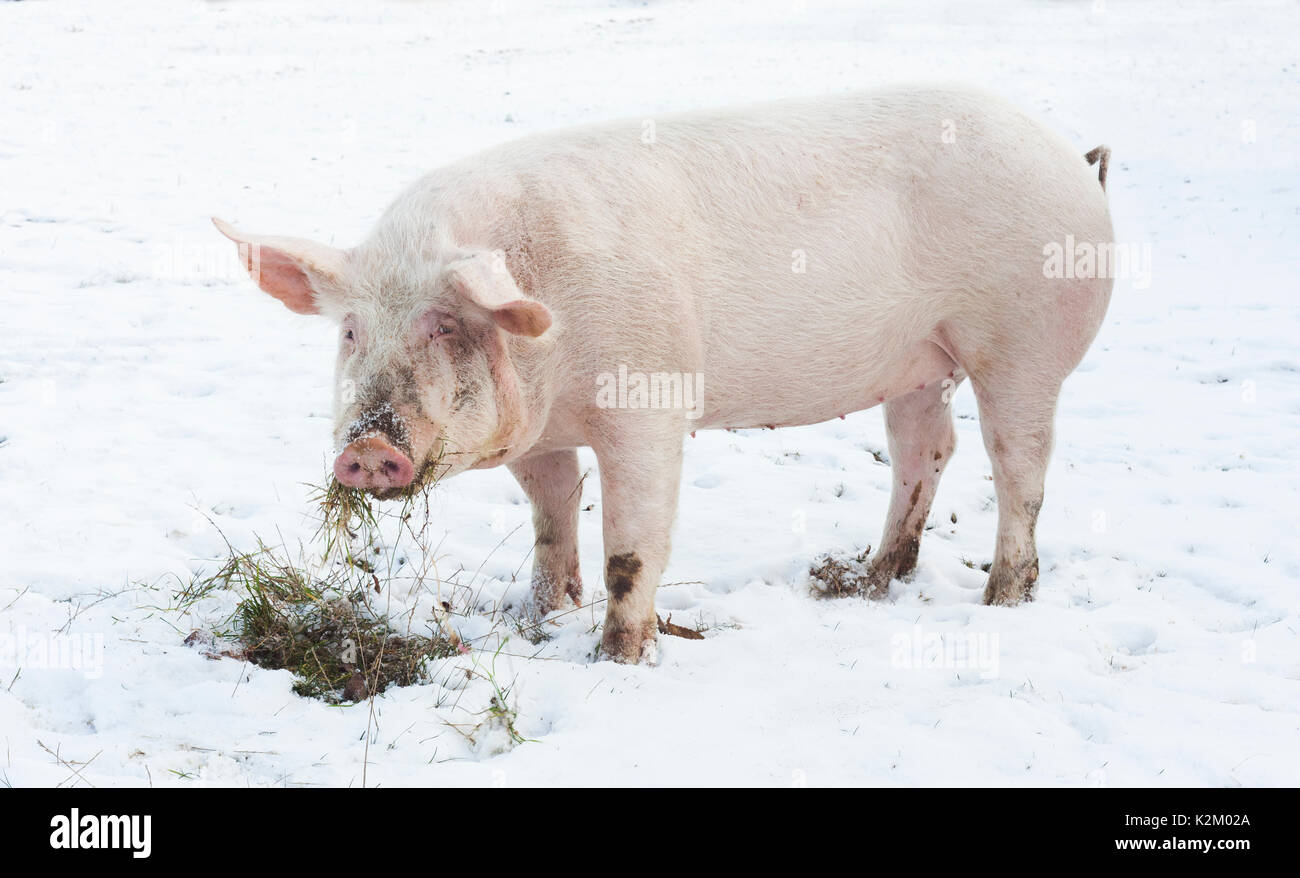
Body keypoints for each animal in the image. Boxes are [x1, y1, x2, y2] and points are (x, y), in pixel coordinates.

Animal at [215, 84, 1114, 664]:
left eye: (445, 323)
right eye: (351, 332)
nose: (367, 449)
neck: (555, 356)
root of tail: (1073, 159)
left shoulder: (649, 403)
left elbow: (632, 538)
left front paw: (619, 660)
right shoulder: (542, 436)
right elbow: (551, 514)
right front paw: (544, 611)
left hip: (1024, 344)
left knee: (1020, 467)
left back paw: (1002, 598)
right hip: (920, 363)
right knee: (926, 450)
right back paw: (870, 578)